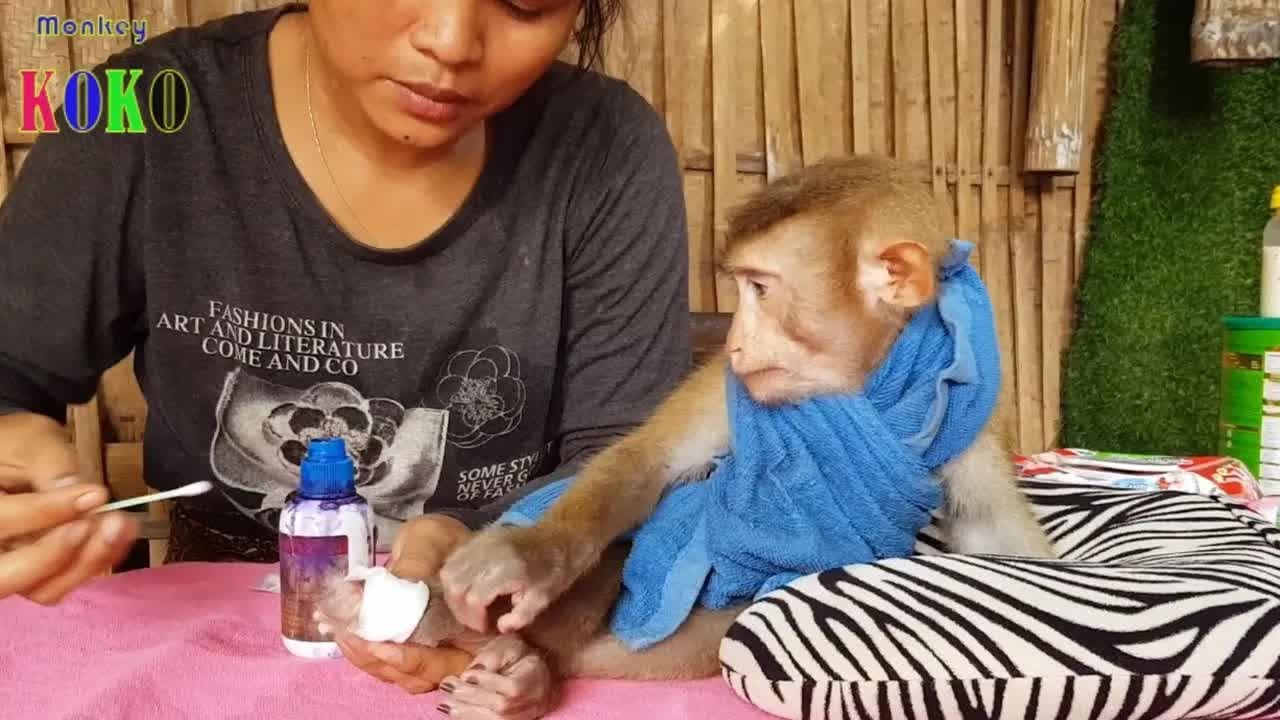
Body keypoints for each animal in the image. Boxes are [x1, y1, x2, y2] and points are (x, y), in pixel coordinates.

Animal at [323, 154, 1054, 715]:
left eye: (762, 289)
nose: (733, 339)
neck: (863, 385)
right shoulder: (730, 390)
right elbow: (648, 464)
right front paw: (530, 557)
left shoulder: (973, 423)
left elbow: (995, 534)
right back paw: (446, 624)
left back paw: (520, 675)